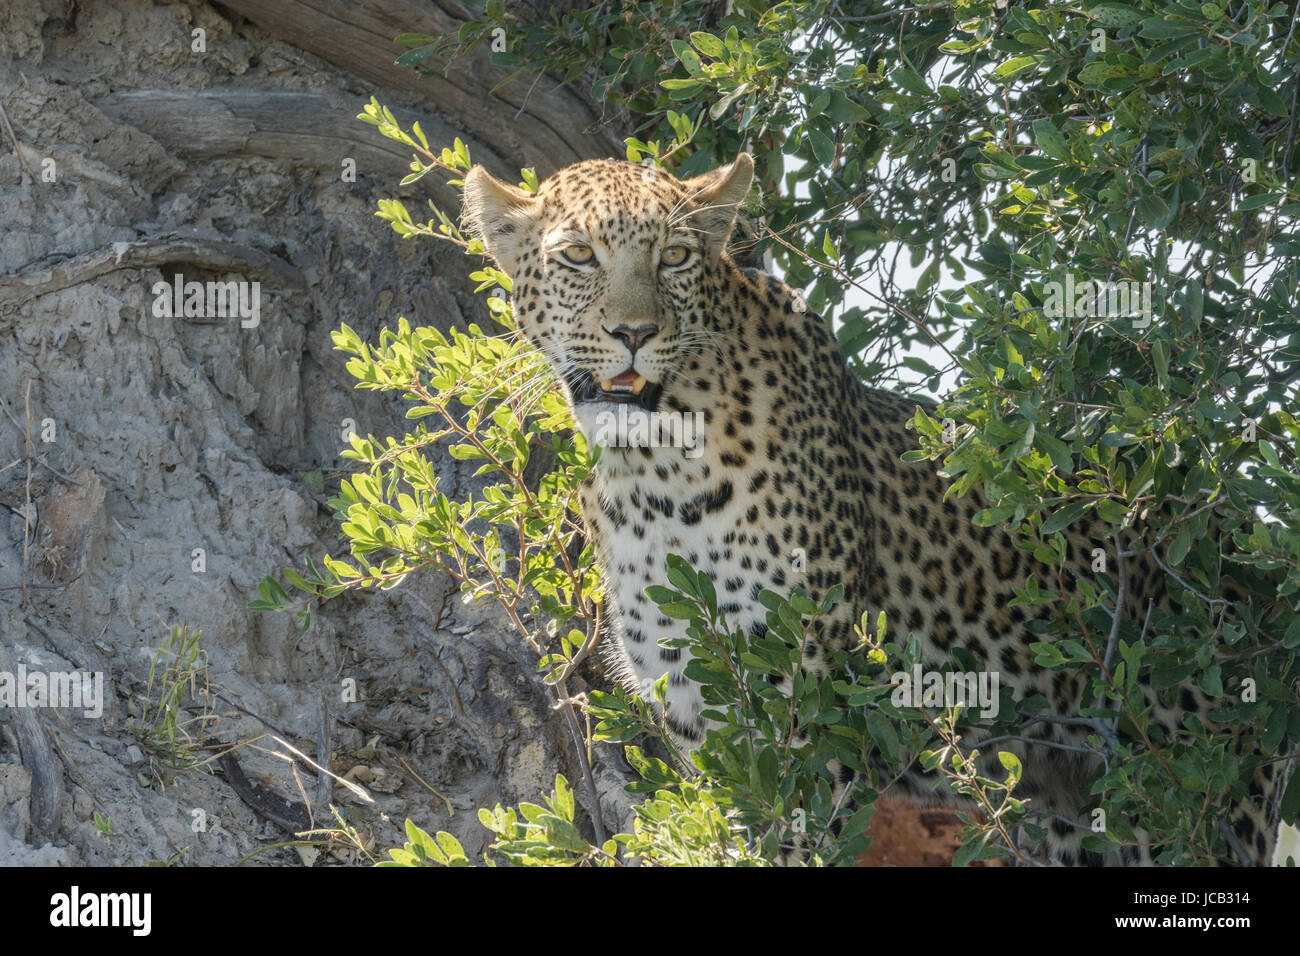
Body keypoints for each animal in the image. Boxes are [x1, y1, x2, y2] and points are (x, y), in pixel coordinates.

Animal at [462, 153, 1288, 866]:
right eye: (578, 256)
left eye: (674, 257)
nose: (634, 333)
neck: (654, 476)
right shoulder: (702, 714)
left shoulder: (800, 701)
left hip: (1191, 786)